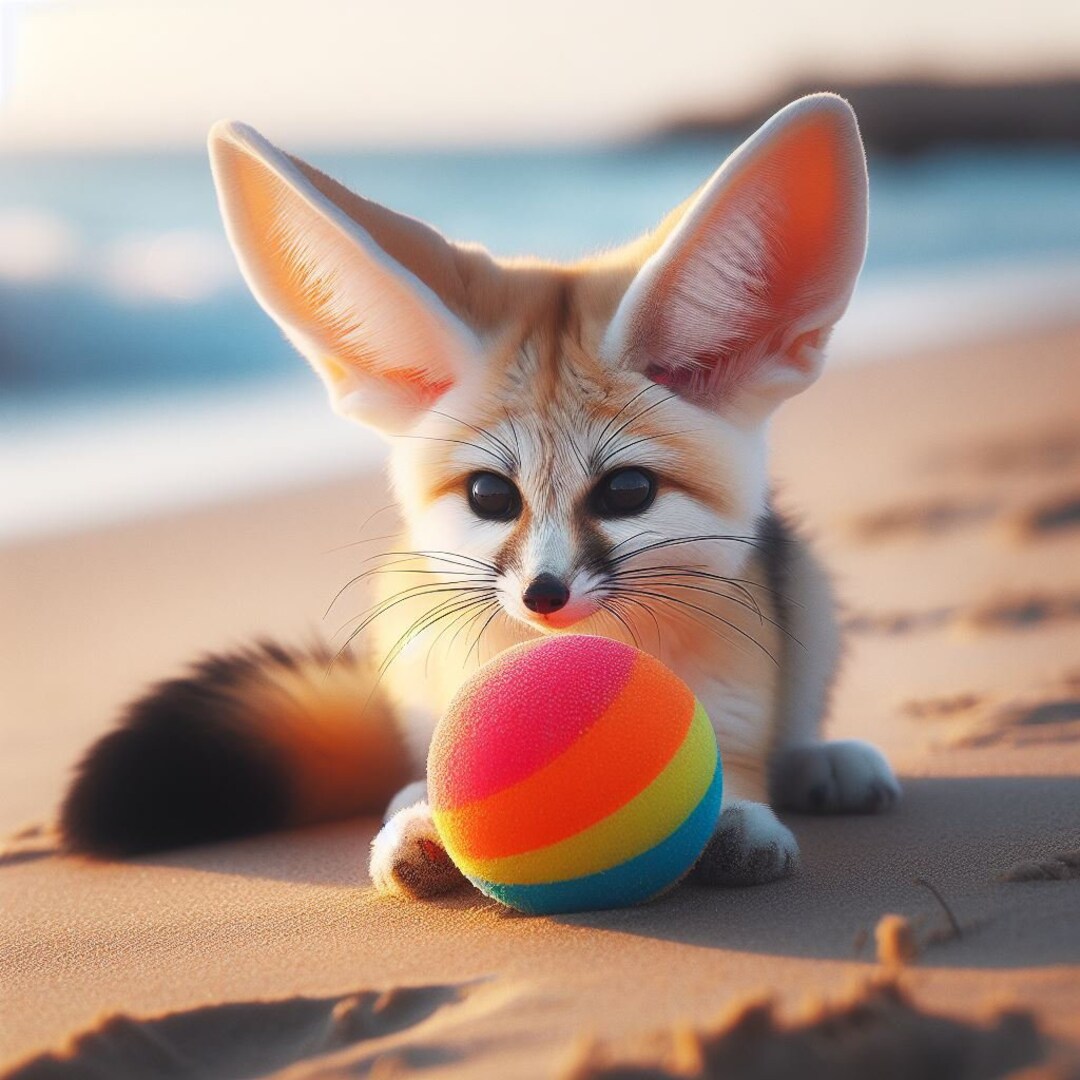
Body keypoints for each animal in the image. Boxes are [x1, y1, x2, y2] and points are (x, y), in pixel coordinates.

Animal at [59, 94, 900, 899]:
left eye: (627, 491)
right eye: (491, 494)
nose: (544, 595)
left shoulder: (740, 707)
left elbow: (743, 771)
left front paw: (740, 820)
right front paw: (418, 827)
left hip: (811, 600)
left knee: (795, 729)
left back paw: (826, 762)